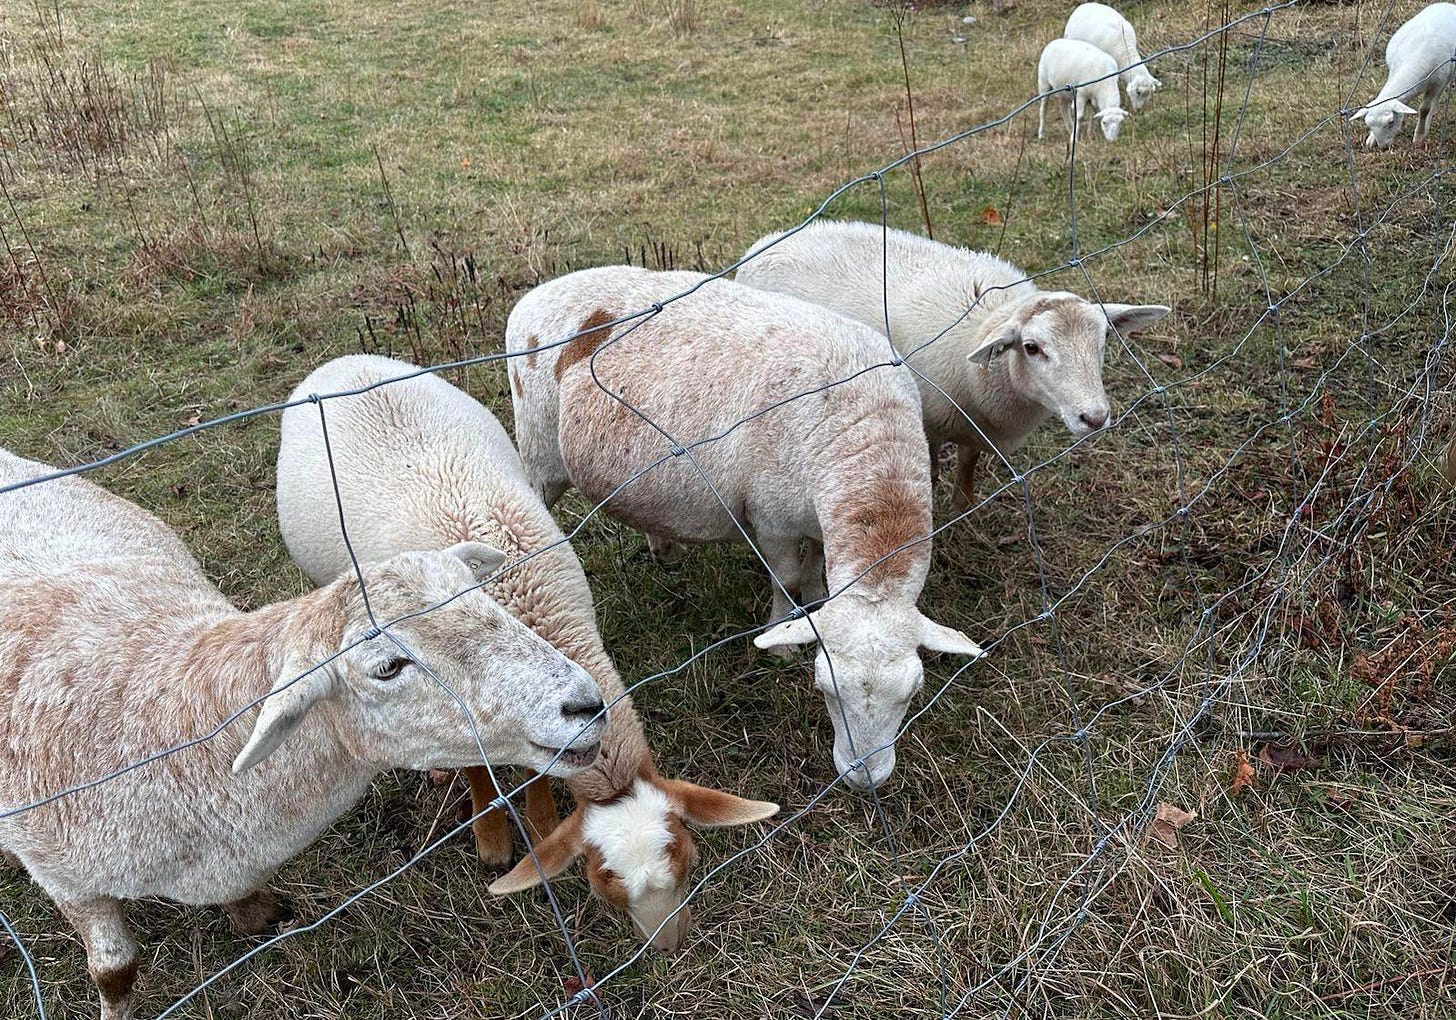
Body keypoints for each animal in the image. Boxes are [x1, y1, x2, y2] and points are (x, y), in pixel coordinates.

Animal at [0, 449, 606, 1020]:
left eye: (485, 600)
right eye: (387, 667)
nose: (587, 704)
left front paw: (254, 913)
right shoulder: (64, 879)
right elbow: (115, 972)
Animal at [275, 355, 779, 953]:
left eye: (688, 856)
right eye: (601, 881)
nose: (667, 947)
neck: (516, 598)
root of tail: (343, 363)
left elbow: (540, 763)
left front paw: (538, 822)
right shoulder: (459, 707)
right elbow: (477, 766)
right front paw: (492, 838)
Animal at [506, 266, 985, 792]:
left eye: (913, 692)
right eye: (823, 687)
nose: (863, 780)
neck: (868, 444)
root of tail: (539, 293)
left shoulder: (814, 520)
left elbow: (814, 567)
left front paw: (815, 601)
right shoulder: (772, 520)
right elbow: (786, 578)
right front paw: (782, 638)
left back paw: (664, 548)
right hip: (538, 452)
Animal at [735, 220, 1170, 510]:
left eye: (1103, 342)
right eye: (1031, 347)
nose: (1094, 418)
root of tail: (764, 244)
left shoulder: (976, 425)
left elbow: (968, 461)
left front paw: (964, 503)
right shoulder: (930, 419)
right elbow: (928, 468)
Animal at [1350, 3, 1456, 150]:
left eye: (1391, 122)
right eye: (1368, 124)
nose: (1383, 147)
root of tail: (1447, 4)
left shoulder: (1436, 83)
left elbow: (1424, 109)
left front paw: (1418, 137)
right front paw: (1371, 139)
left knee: (1434, 102)